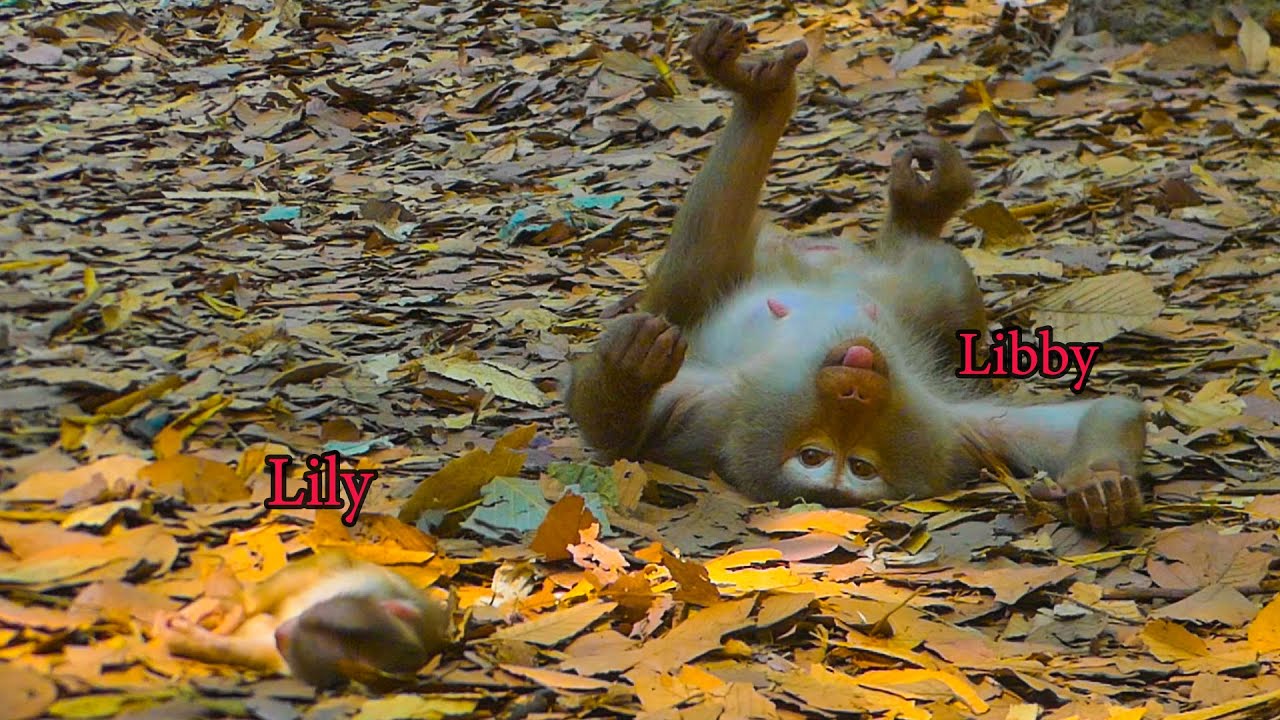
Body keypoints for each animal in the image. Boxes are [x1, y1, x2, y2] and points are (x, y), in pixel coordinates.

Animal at [565, 16, 1146, 533]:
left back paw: (913, 203)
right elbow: (617, 442)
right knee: (695, 267)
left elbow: (1107, 412)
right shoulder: (714, 409)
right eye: (815, 457)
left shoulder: (960, 430)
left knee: (939, 279)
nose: (854, 392)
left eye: (861, 467)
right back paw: (764, 99)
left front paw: (1098, 483)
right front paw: (629, 370)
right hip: (691, 294)